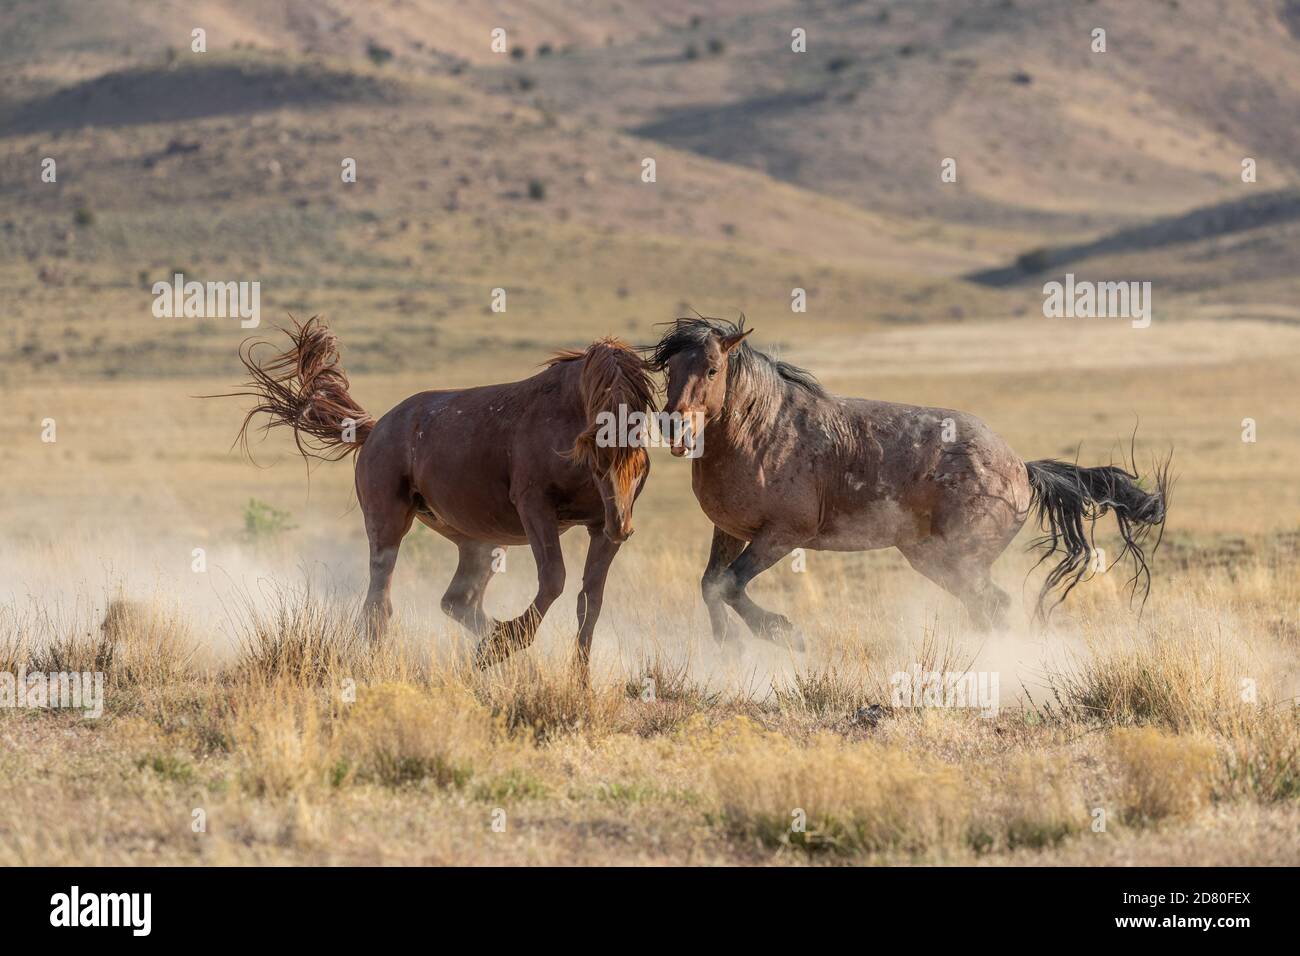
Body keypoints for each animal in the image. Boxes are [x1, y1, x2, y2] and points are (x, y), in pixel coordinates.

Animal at [227, 316, 654, 676]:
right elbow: (554, 580)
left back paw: (503, 656)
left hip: (480, 542)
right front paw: (505, 644)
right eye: (598, 461)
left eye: (640, 463)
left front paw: (577, 682)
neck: (566, 413)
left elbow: (590, 601)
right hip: (388, 528)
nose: (623, 527)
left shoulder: (598, 530)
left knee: (457, 601)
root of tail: (374, 429)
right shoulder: (536, 509)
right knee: (379, 605)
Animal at [648, 316, 1169, 646]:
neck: (763, 431)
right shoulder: (731, 530)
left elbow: (730, 585)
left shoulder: (781, 535)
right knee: (985, 609)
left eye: (712, 368)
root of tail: (1021, 468)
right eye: (669, 368)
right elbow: (711, 584)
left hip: (960, 559)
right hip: (932, 558)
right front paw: (728, 646)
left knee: (994, 606)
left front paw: (785, 635)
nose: (674, 427)